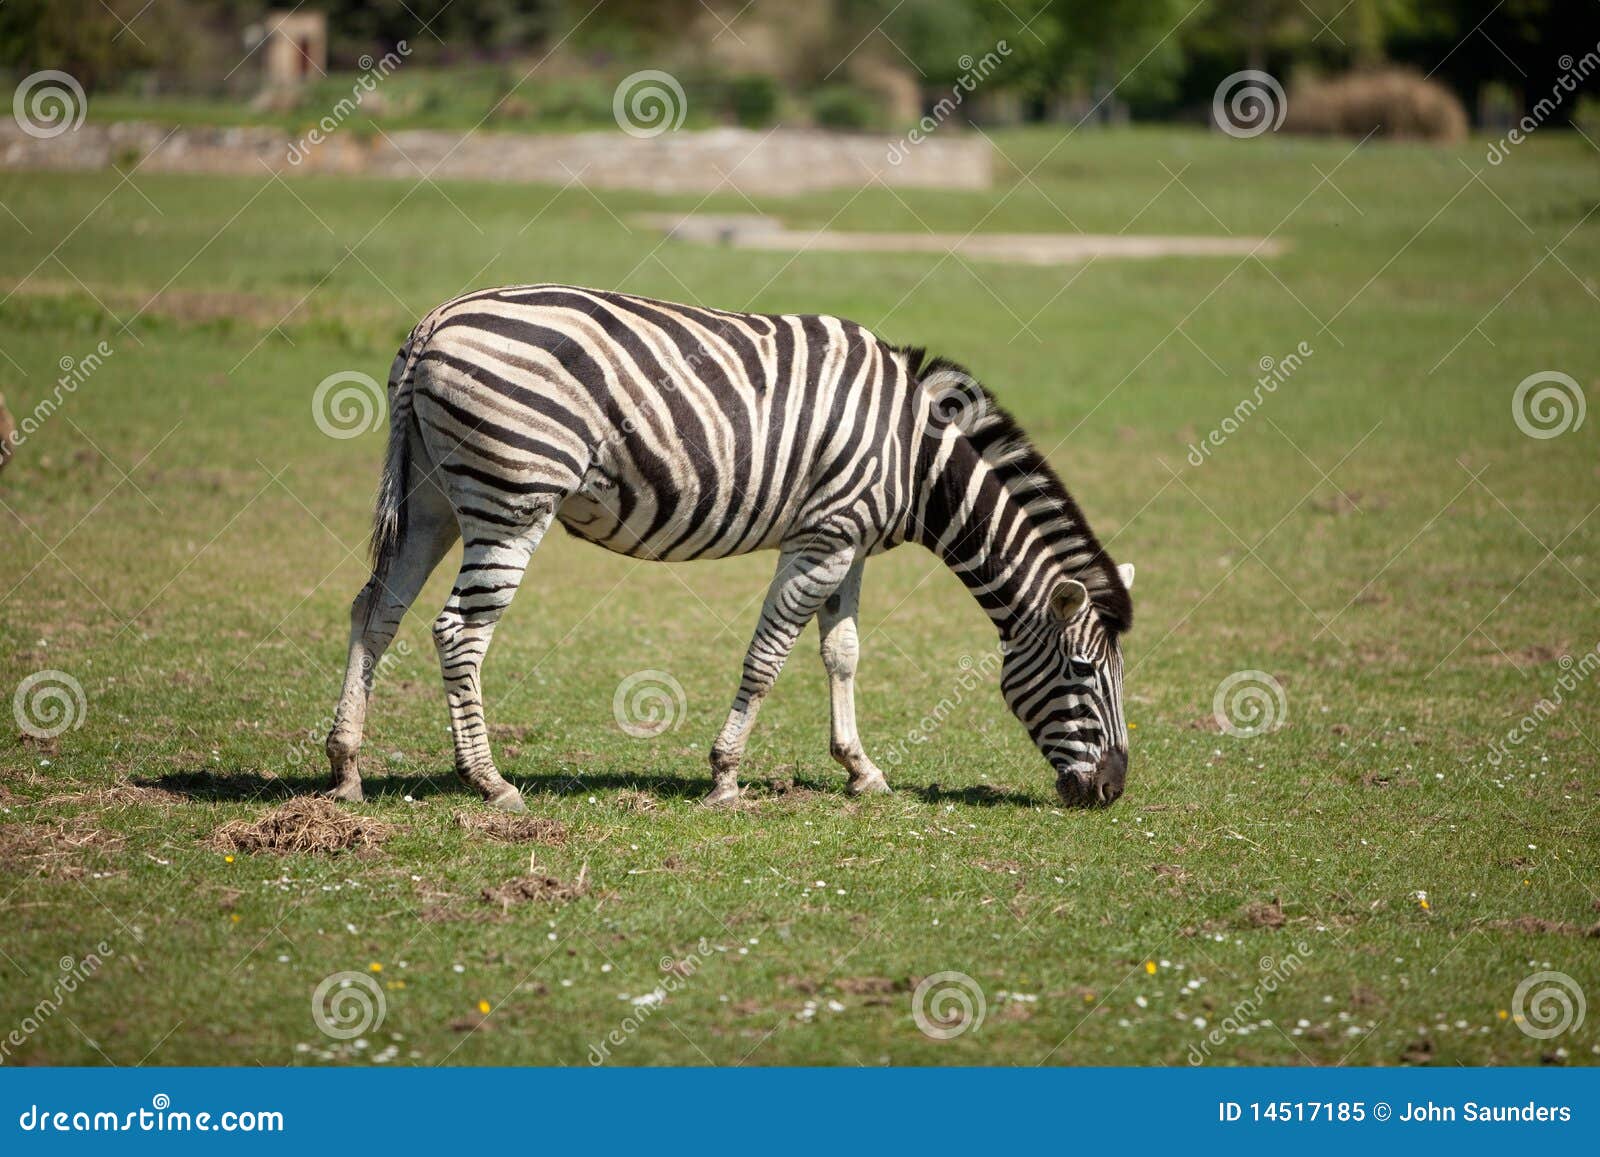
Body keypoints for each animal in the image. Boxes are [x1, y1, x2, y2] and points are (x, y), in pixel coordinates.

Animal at [324, 285, 1135, 813]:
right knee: (457, 631)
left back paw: (347, 769)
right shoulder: (822, 537)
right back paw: (489, 782)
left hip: (433, 499)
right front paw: (724, 778)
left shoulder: (849, 543)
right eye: (1084, 671)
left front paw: (860, 770)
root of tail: (436, 322)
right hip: (512, 499)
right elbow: (768, 656)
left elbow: (842, 653)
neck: (915, 456)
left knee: (376, 610)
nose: (1110, 791)